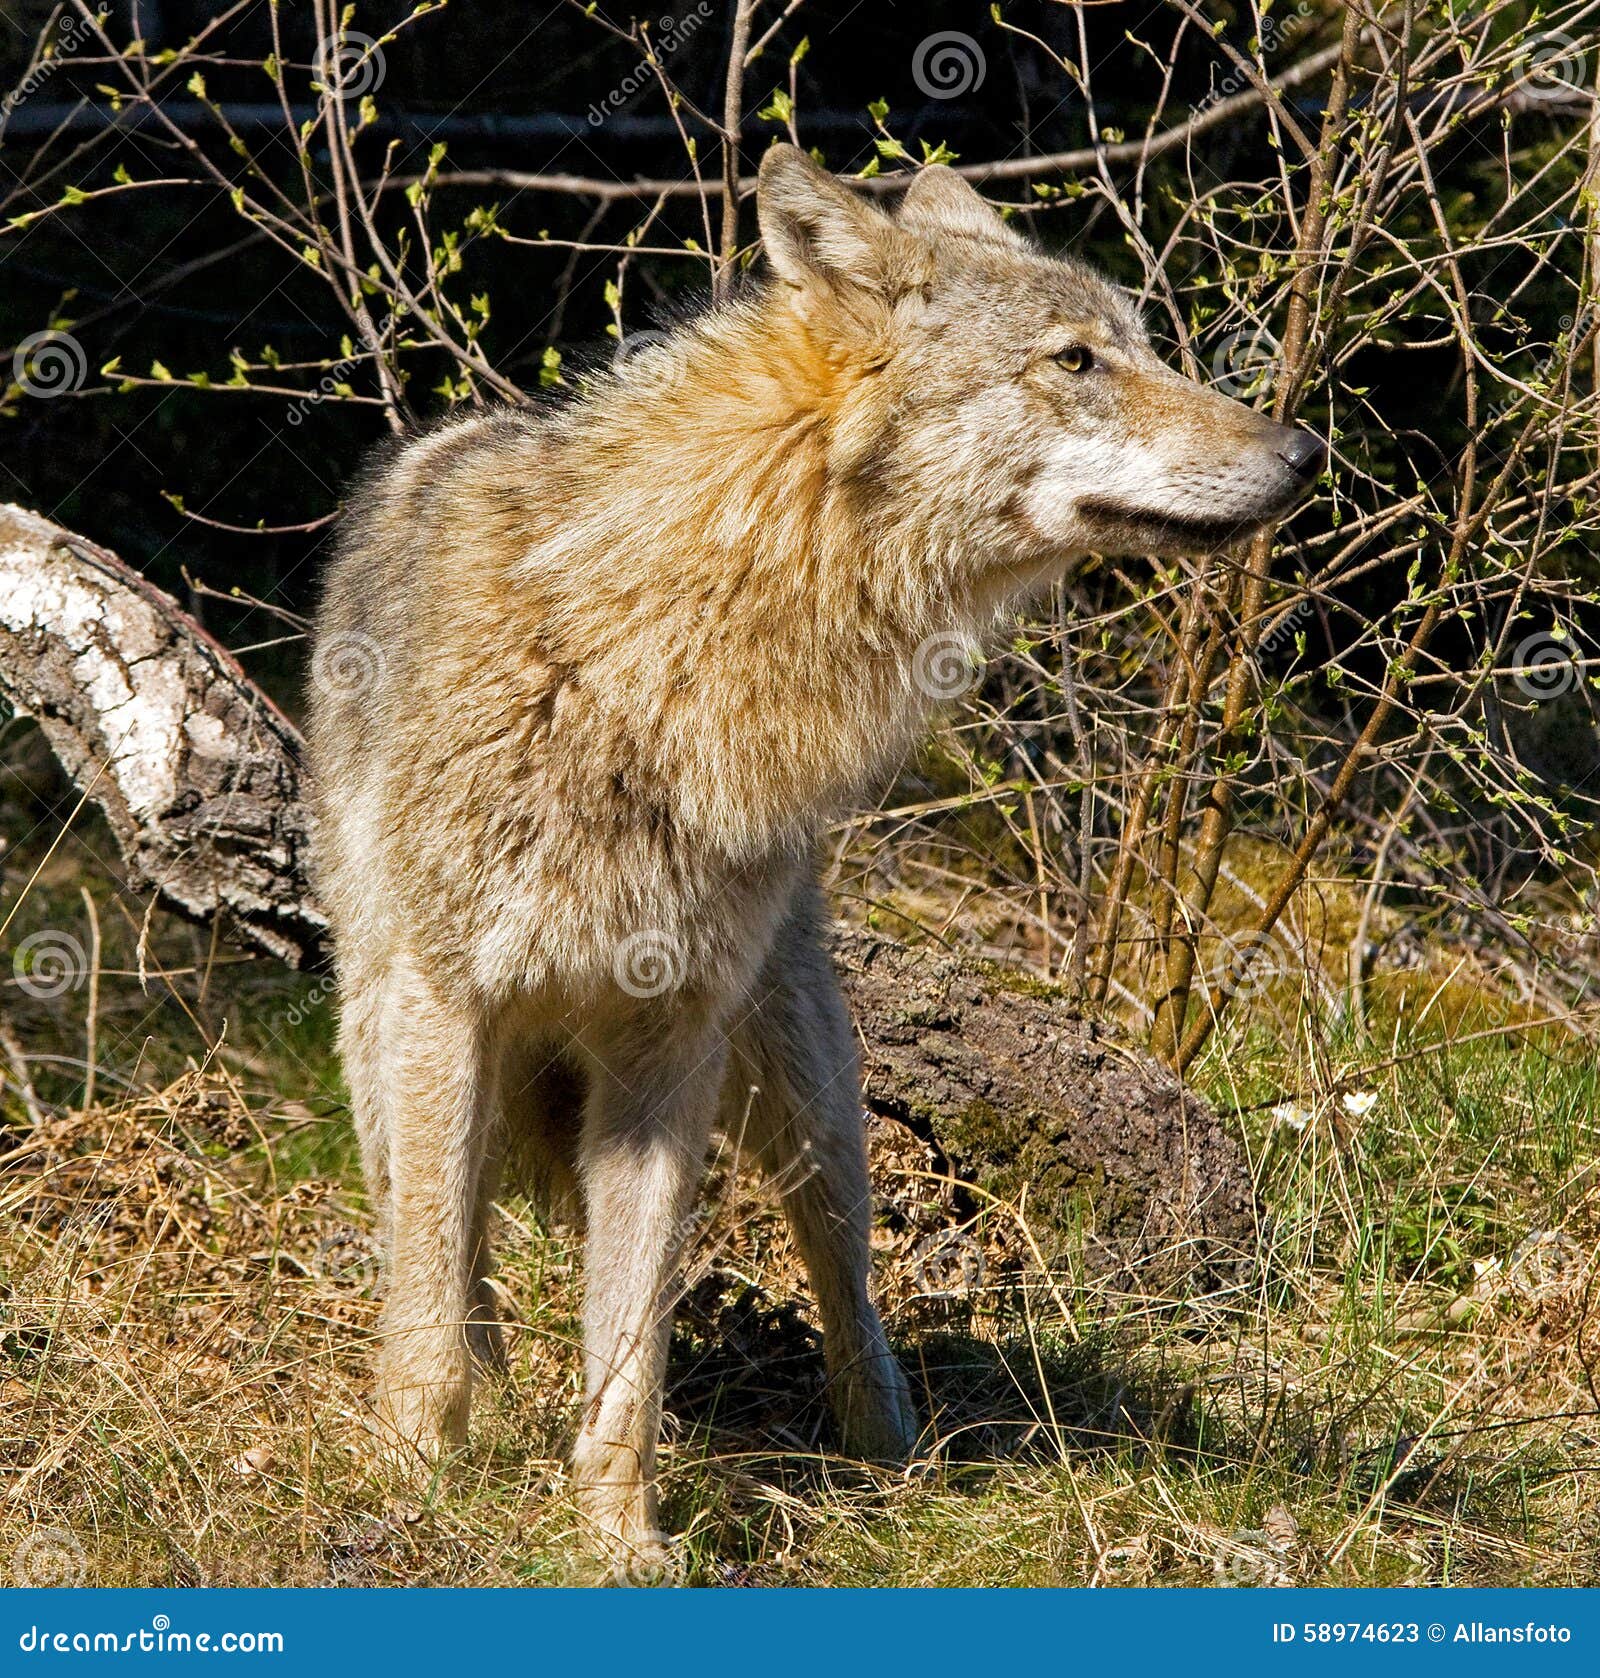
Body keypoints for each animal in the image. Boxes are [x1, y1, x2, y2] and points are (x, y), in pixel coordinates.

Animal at [306, 144, 1324, 1565]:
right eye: (1075, 360)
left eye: (1139, 344)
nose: (1302, 450)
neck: (657, 639)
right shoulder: (447, 1004)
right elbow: (429, 1299)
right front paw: (413, 1486)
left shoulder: (667, 1047)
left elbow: (631, 1353)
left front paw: (619, 1543)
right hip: (376, 1046)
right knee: (446, 1250)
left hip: (808, 1085)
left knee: (847, 1284)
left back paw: (890, 1460)